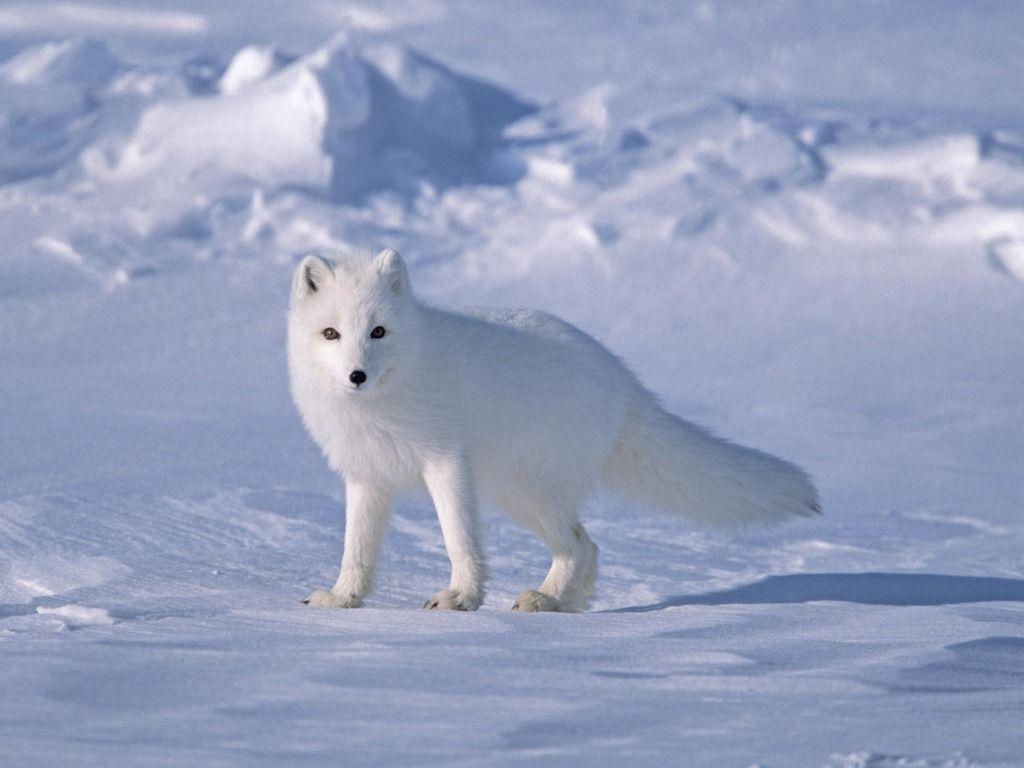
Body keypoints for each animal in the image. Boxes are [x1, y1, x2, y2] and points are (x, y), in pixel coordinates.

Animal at [289, 248, 820, 612]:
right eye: (331, 333)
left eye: (378, 331)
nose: (356, 375)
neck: (385, 399)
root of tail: (624, 381)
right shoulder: (367, 476)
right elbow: (356, 549)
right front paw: (342, 598)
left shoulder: (446, 463)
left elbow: (459, 539)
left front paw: (461, 598)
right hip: (516, 494)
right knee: (588, 544)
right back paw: (563, 603)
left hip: (530, 491)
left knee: (580, 543)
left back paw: (546, 600)